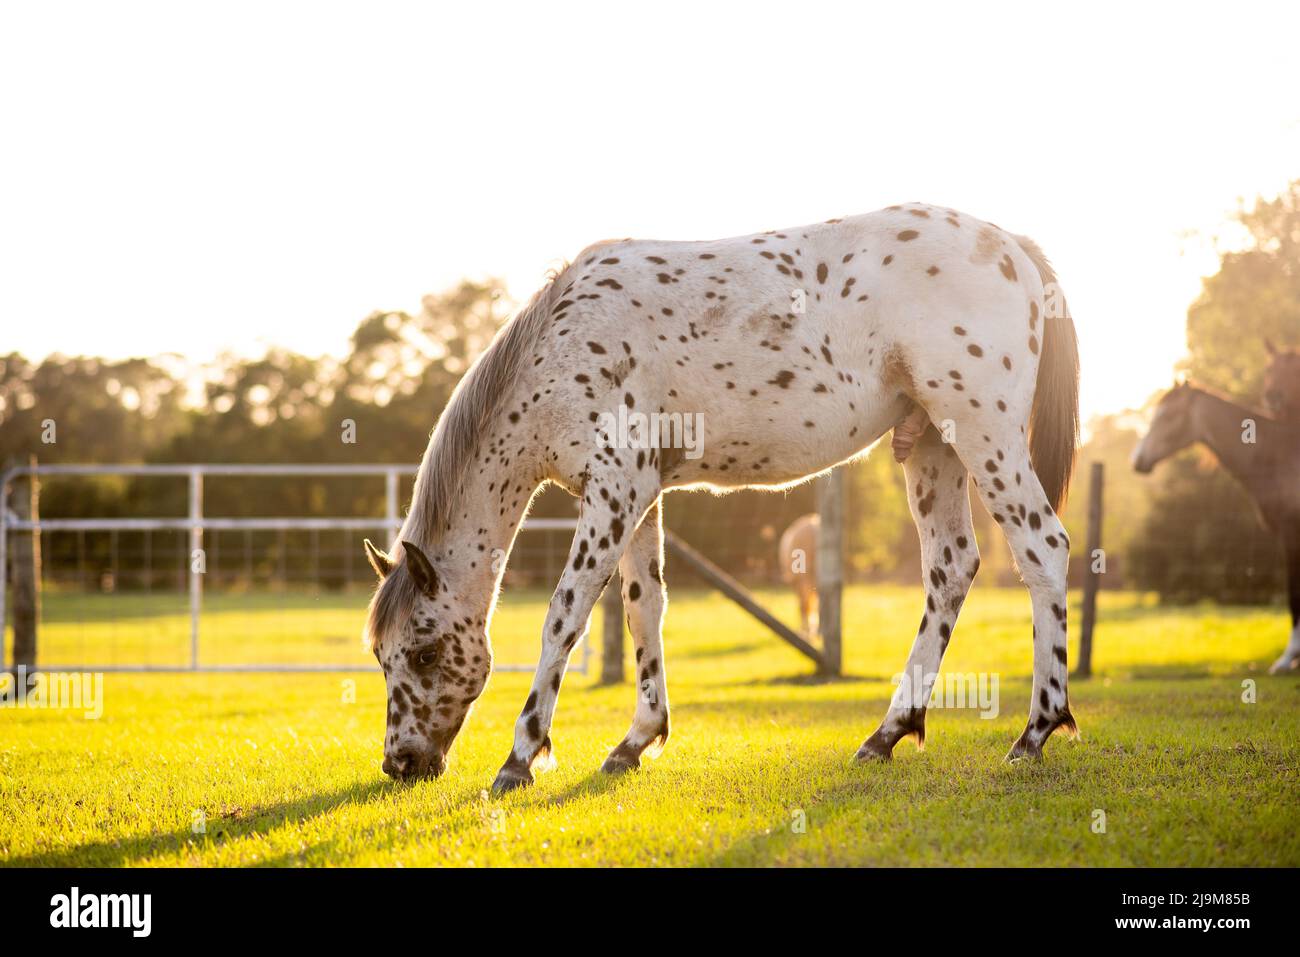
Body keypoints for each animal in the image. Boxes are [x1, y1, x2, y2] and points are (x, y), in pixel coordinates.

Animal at [362, 203, 1082, 791]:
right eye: (380, 654)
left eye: (424, 651)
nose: (402, 763)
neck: (564, 345)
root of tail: (1012, 246)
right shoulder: (639, 497)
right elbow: (644, 608)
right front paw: (636, 740)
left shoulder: (615, 493)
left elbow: (565, 615)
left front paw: (521, 756)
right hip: (934, 445)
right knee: (951, 567)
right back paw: (887, 733)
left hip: (983, 433)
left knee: (1043, 547)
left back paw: (1035, 732)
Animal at [1132, 382, 1300, 673]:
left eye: (1167, 415)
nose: (1137, 459)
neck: (1277, 459)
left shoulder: (1291, 535)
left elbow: (1294, 596)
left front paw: (1287, 658)